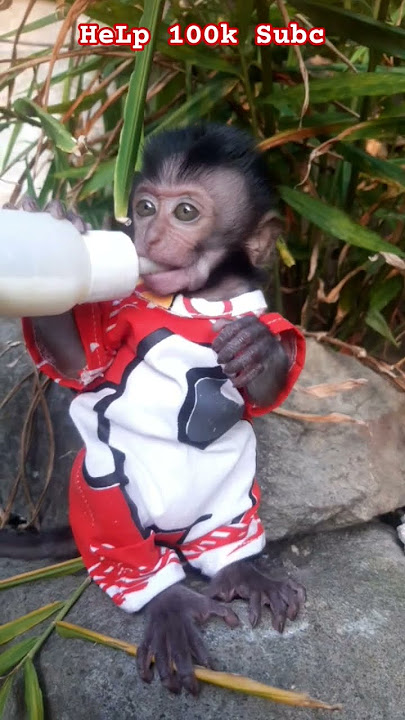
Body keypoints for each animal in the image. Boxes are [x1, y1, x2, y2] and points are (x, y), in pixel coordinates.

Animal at [1, 123, 306, 696]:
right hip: (103, 496)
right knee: (118, 528)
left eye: (184, 212)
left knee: (229, 522)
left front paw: (259, 350)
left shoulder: (259, 304)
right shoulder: (118, 312)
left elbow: (263, 387)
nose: (146, 237)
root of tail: (172, 533)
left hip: (231, 494)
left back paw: (240, 568)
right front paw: (59, 223)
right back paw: (167, 600)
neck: (198, 297)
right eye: (144, 207)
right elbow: (81, 365)